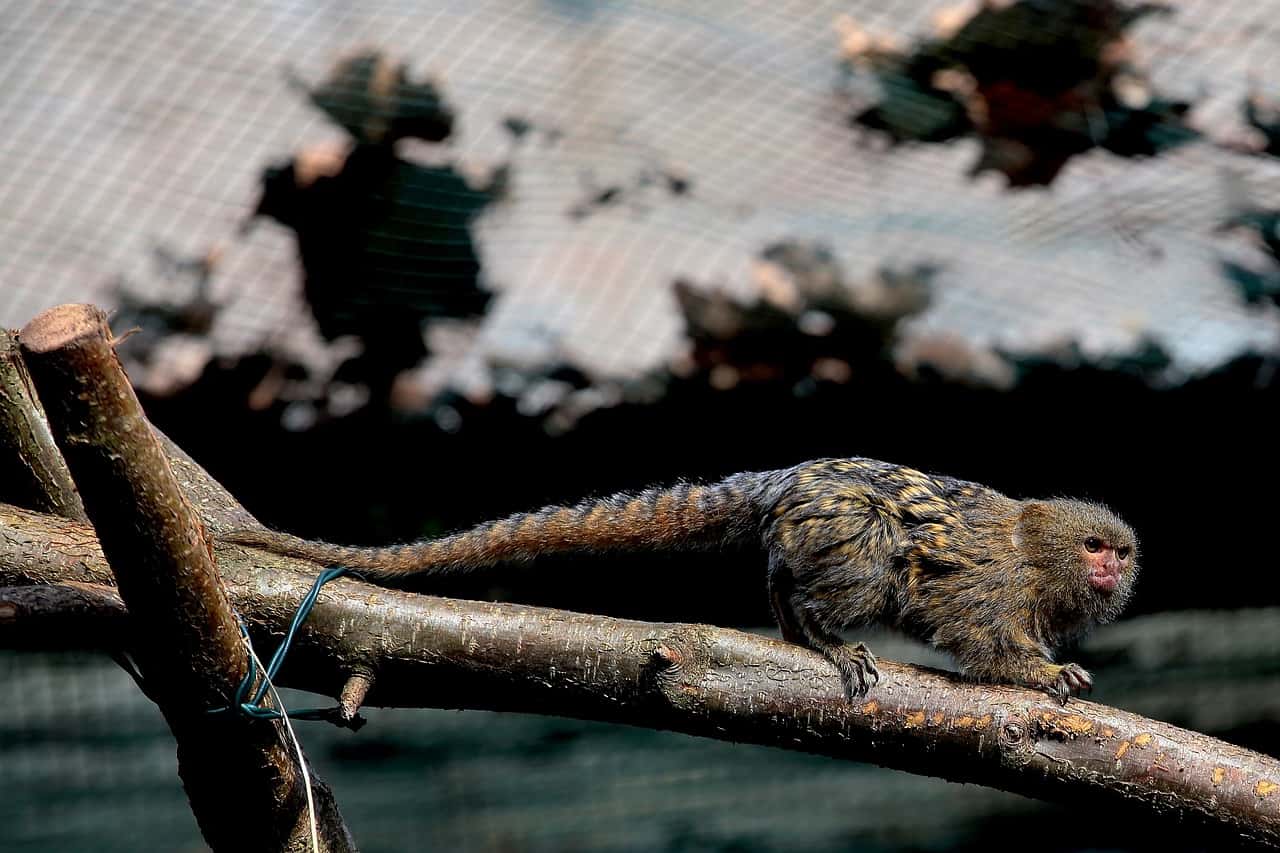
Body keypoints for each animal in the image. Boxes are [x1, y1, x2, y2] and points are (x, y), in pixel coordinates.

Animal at [223, 457, 1138, 704]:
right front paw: (1050, 675)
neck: (1036, 554)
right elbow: (986, 644)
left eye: (1120, 553)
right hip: (850, 533)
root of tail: (787, 480)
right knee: (851, 576)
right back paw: (824, 639)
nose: (1112, 565)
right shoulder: (993, 588)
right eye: (1094, 544)